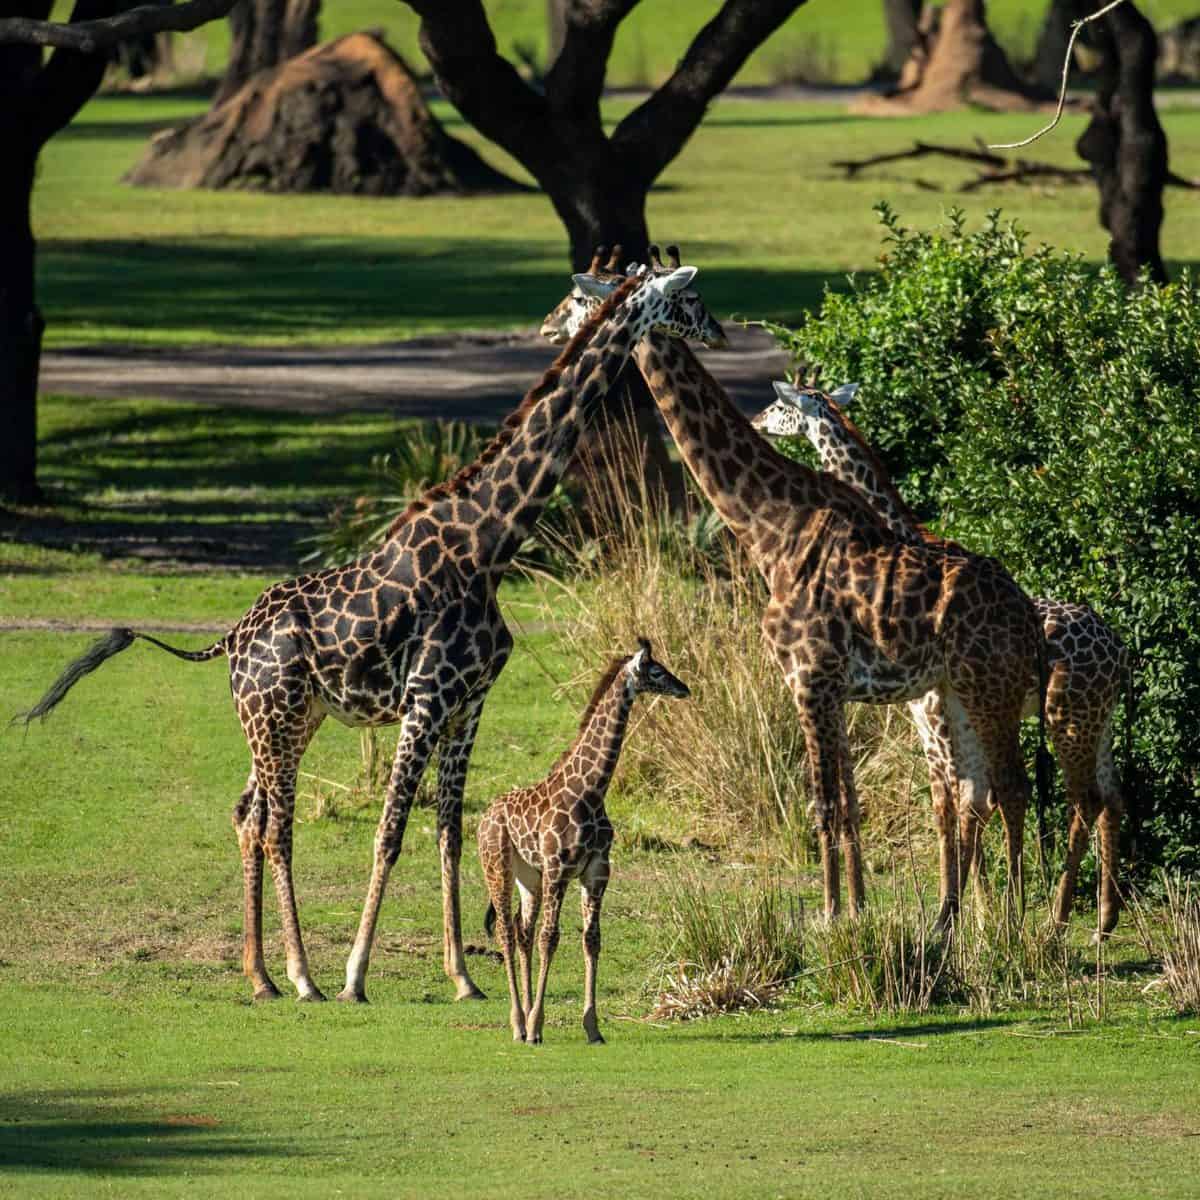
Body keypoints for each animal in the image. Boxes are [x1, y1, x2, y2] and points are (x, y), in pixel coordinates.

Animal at [478, 638, 689, 1044]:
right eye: (656, 671)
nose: (684, 688)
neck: (590, 790)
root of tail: (484, 817)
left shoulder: (596, 871)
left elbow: (591, 939)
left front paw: (592, 1027)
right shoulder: (559, 868)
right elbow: (551, 938)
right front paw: (537, 1026)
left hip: (530, 878)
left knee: (522, 931)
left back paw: (524, 1019)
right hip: (498, 867)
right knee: (507, 932)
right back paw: (519, 1023)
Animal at [545, 253, 1047, 922]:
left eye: (582, 295)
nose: (551, 327)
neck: (771, 529)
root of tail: (1030, 617)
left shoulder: (807, 679)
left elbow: (825, 804)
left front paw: (832, 915)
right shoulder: (833, 690)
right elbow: (846, 802)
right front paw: (854, 908)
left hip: (987, 690)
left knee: (1006, 789)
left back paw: (1016, 925)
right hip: (961, 694)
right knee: (981, 791)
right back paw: (975, 919)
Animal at [752, 382, 1130, 933]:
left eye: (781, 404)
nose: (756, 420)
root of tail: (1121, 653)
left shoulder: (930, 713)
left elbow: (957, 803)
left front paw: (960, 913)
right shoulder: (933, 714)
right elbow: (963, 802)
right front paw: (972, 911)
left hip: (1067, 717)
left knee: (1083, 801)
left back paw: (1057, 920)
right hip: (1097, 721)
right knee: (1111, 797)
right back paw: (1103, 920)